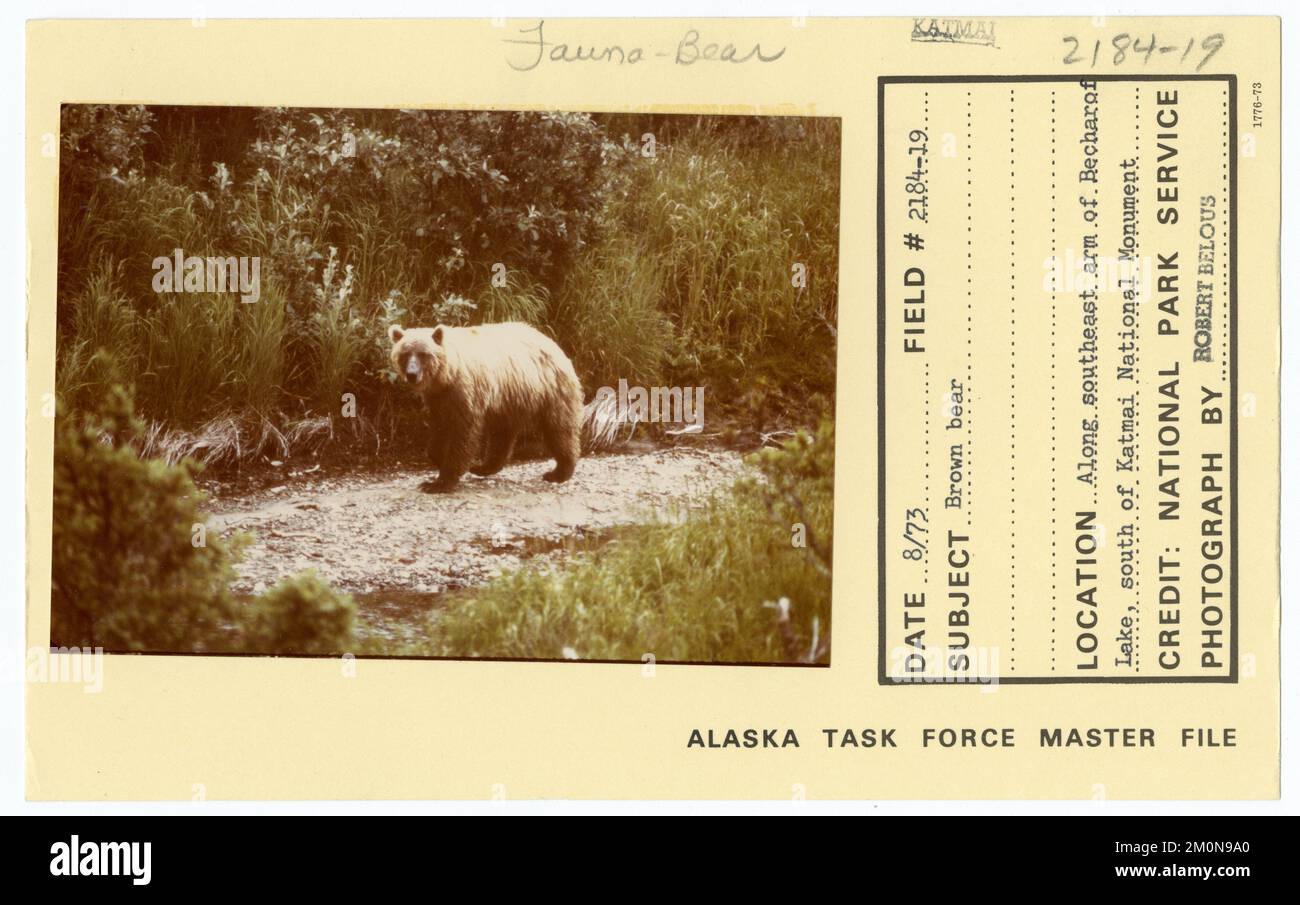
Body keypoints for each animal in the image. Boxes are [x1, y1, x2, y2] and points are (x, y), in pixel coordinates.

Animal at [388, 322, 584, 493]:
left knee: (559, 429)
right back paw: (483, 467)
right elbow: (439, 429)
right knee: (502, 435)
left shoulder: (465, 393)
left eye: (423, 354)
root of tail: (552, 343)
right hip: (508, 399)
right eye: (405, 354)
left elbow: (462, 434)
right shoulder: (438, 399)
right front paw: (438, 458)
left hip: (549, 390)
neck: (447, 375)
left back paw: (558, 473)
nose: (412, 374)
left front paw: (438, 482)